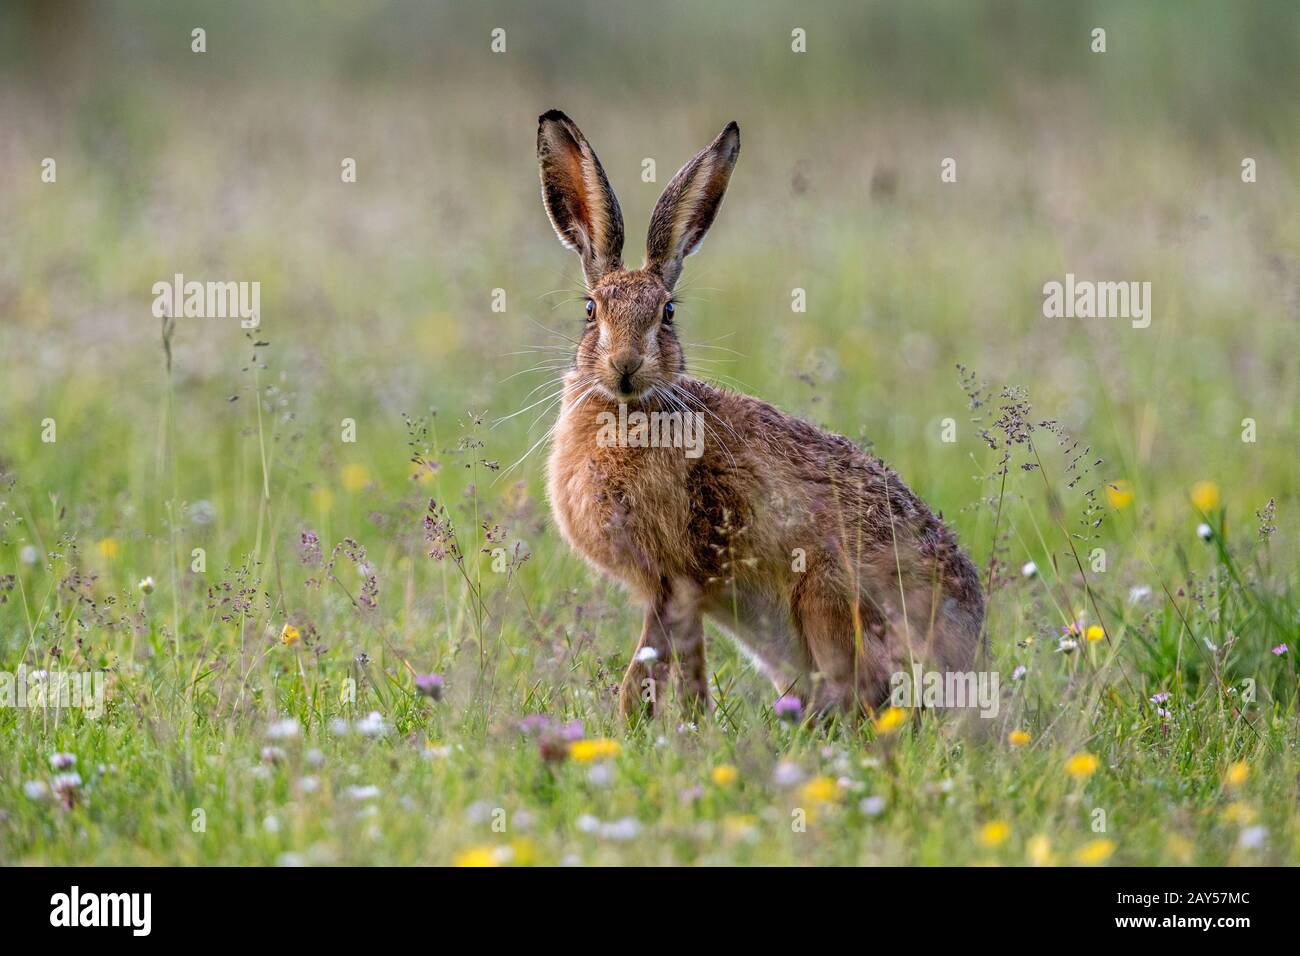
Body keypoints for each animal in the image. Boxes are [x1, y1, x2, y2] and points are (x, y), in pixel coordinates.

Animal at [536, 109, 985, 721]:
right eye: (589, 310)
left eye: (667, 313)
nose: (625, 365)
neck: (629, 411)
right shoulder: (681, 591)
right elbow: (683, 664)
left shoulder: (673, 580)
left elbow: (650, 664)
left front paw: (638, 725)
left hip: (827, 598)